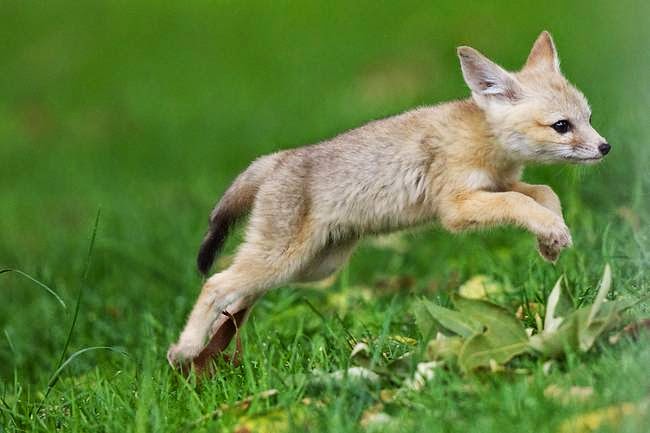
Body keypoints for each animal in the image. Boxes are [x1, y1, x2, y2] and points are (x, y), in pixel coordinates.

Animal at [168, 31, 610, 371]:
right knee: (216, 283)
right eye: (561, 126)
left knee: (237, 292)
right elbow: (520, 205)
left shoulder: (500, 184)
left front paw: (550, 240)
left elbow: (543, 195)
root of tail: (279, 158)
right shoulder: (457, 208)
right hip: (284, 261)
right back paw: (186, 349)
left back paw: (210, 347)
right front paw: (551, 232)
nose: (605, 147)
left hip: (312, 267)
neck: (481, 137)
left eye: (589, 118)